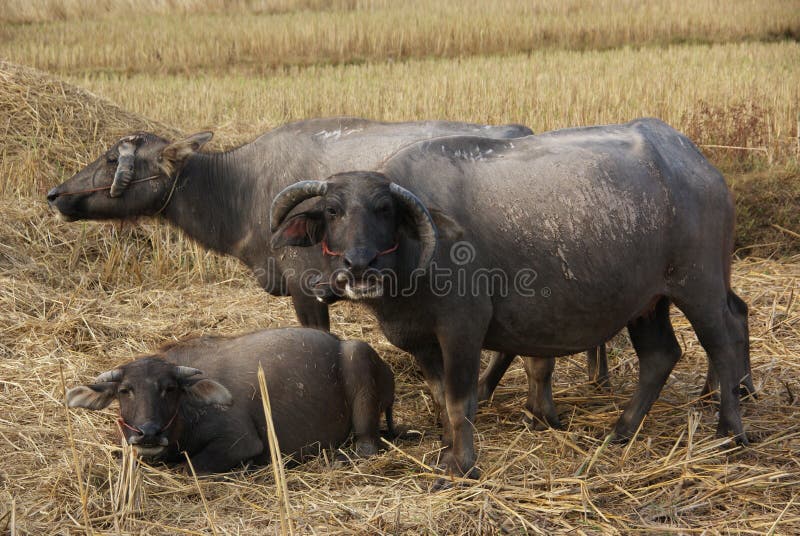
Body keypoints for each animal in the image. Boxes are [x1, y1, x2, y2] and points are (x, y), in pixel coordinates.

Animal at [66, 328, 397, 473]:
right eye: (126, 390)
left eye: (169, 388)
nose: (148, 433)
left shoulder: (241, 442)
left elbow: (191, 467)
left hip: (359, 363)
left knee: (368, 444)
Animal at [269, 118, 753, 480]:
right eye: (333, 212)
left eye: (384, 210)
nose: (359, 265)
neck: (415, 257)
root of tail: (696, 164)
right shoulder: (422, 340)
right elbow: (439, 395)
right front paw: (446, 446)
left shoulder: (462, 329)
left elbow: (460, 398)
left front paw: (461, 464)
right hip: (647, 301)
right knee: (660, 355)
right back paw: (620, 431)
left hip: (700, 286)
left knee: (724, 341)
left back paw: (731, 429)